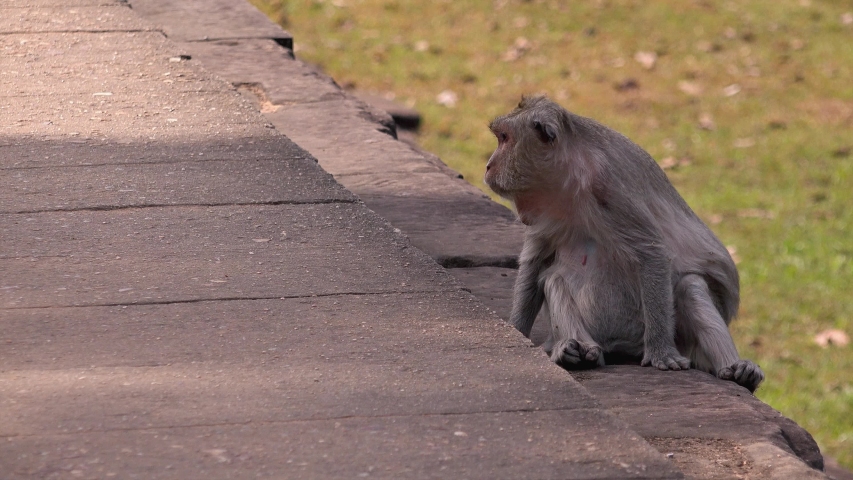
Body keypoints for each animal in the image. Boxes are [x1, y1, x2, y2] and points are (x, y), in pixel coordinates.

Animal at [484, 95, 764, 392]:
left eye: (504, 138)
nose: (488, 166)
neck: (571, 179)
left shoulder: (609, 190)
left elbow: (652, 252)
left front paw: (661, 352)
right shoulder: (545, 211)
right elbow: (536, 261)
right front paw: (516, 330)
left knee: (690, 286)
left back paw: (738, 370)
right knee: (553, 279)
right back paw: (576, 351)